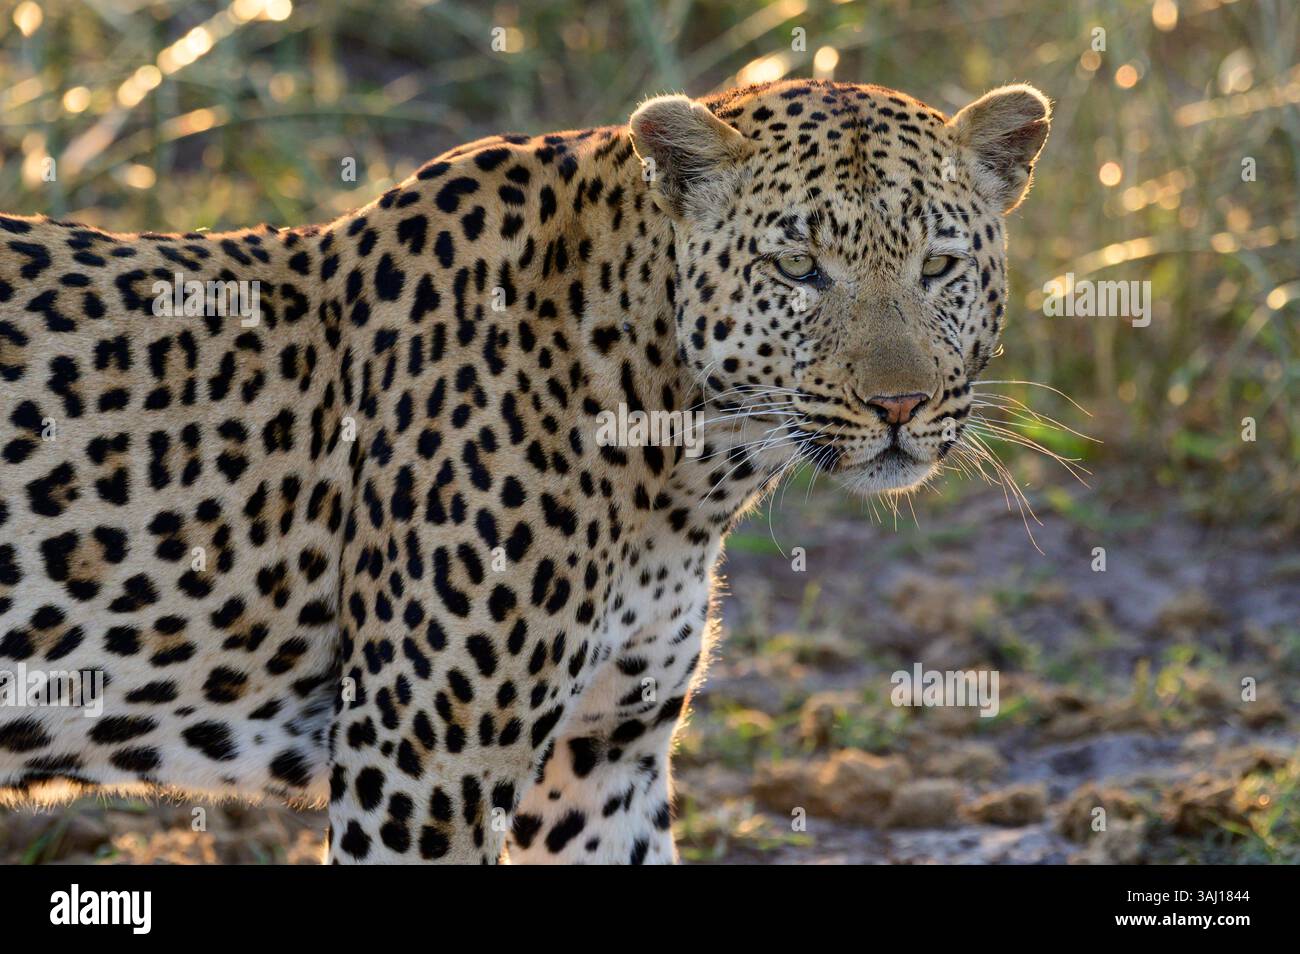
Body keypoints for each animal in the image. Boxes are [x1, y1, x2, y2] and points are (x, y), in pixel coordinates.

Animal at [0, 78, 1049, 863]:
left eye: (940, 265)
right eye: (797, 268)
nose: (901, 406)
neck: (687, 465)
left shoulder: (606, 760)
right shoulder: (422, 764)